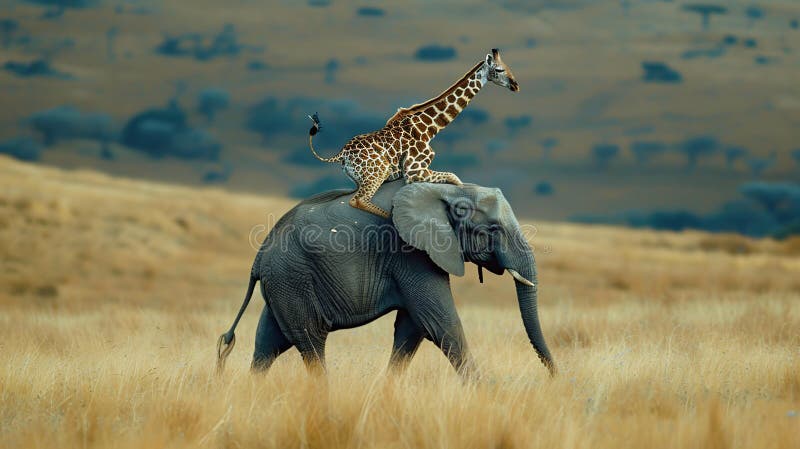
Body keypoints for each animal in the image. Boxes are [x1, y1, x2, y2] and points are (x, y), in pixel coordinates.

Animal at [216, 180, 555, 378]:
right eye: (493, 229)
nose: (554, 376)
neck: (448, 191)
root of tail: (259, 257)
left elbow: (412, 328)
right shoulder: (410, 252)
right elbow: (439, 321)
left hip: (283, 283)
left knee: (268, 343)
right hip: (292, 278)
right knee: (310, 341)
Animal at [308, 48, 519, 218]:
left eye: (508, 66)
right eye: (499, 70)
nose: (515, 85)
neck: (429, 128)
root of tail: (341, 155)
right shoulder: (413, 171)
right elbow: (454, 177)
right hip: (379, 172)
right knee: (358, 200)